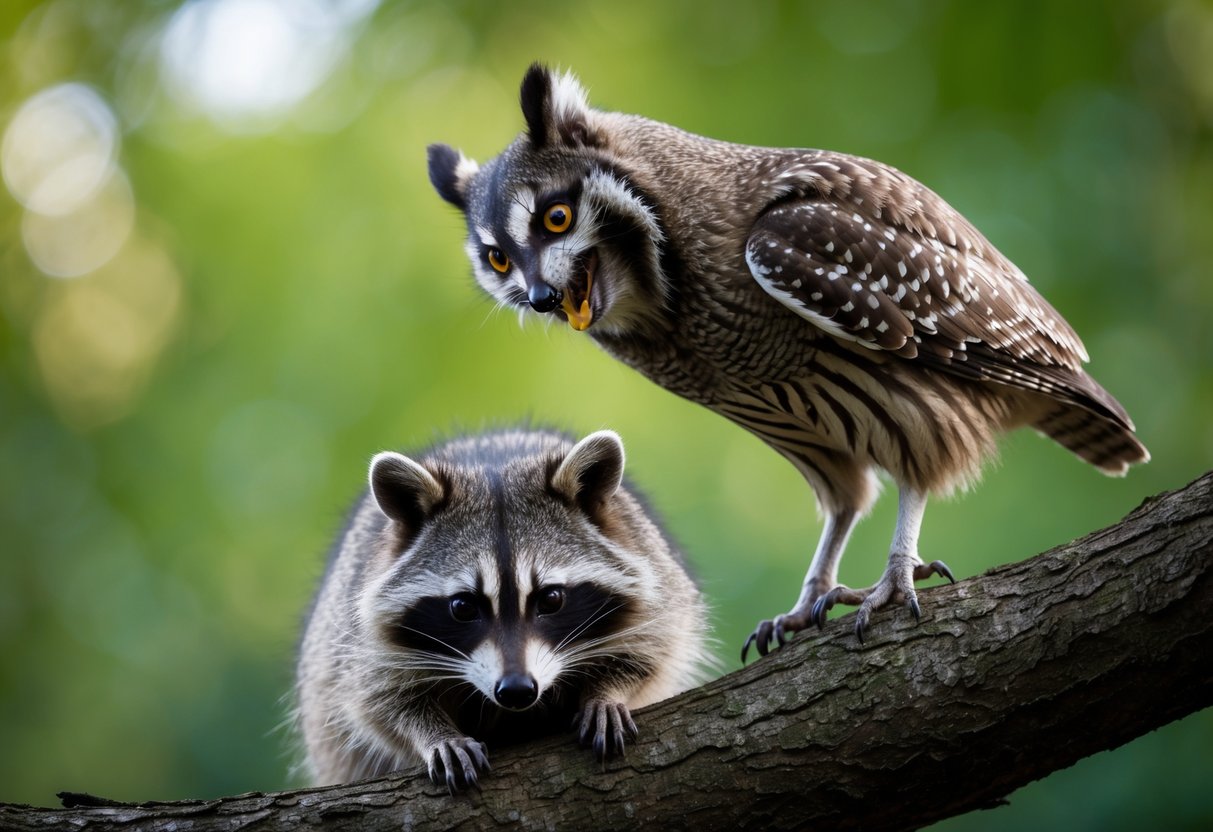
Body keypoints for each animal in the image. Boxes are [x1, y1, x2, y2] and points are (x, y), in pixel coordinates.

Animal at [295, 428, 711, 791]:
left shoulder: (655, 580)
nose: (516, 690)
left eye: (551, 599)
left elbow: (650, 652)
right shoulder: (360, 643)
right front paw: (434, 733)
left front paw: (607, 693)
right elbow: (380, 701)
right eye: (463, 607)